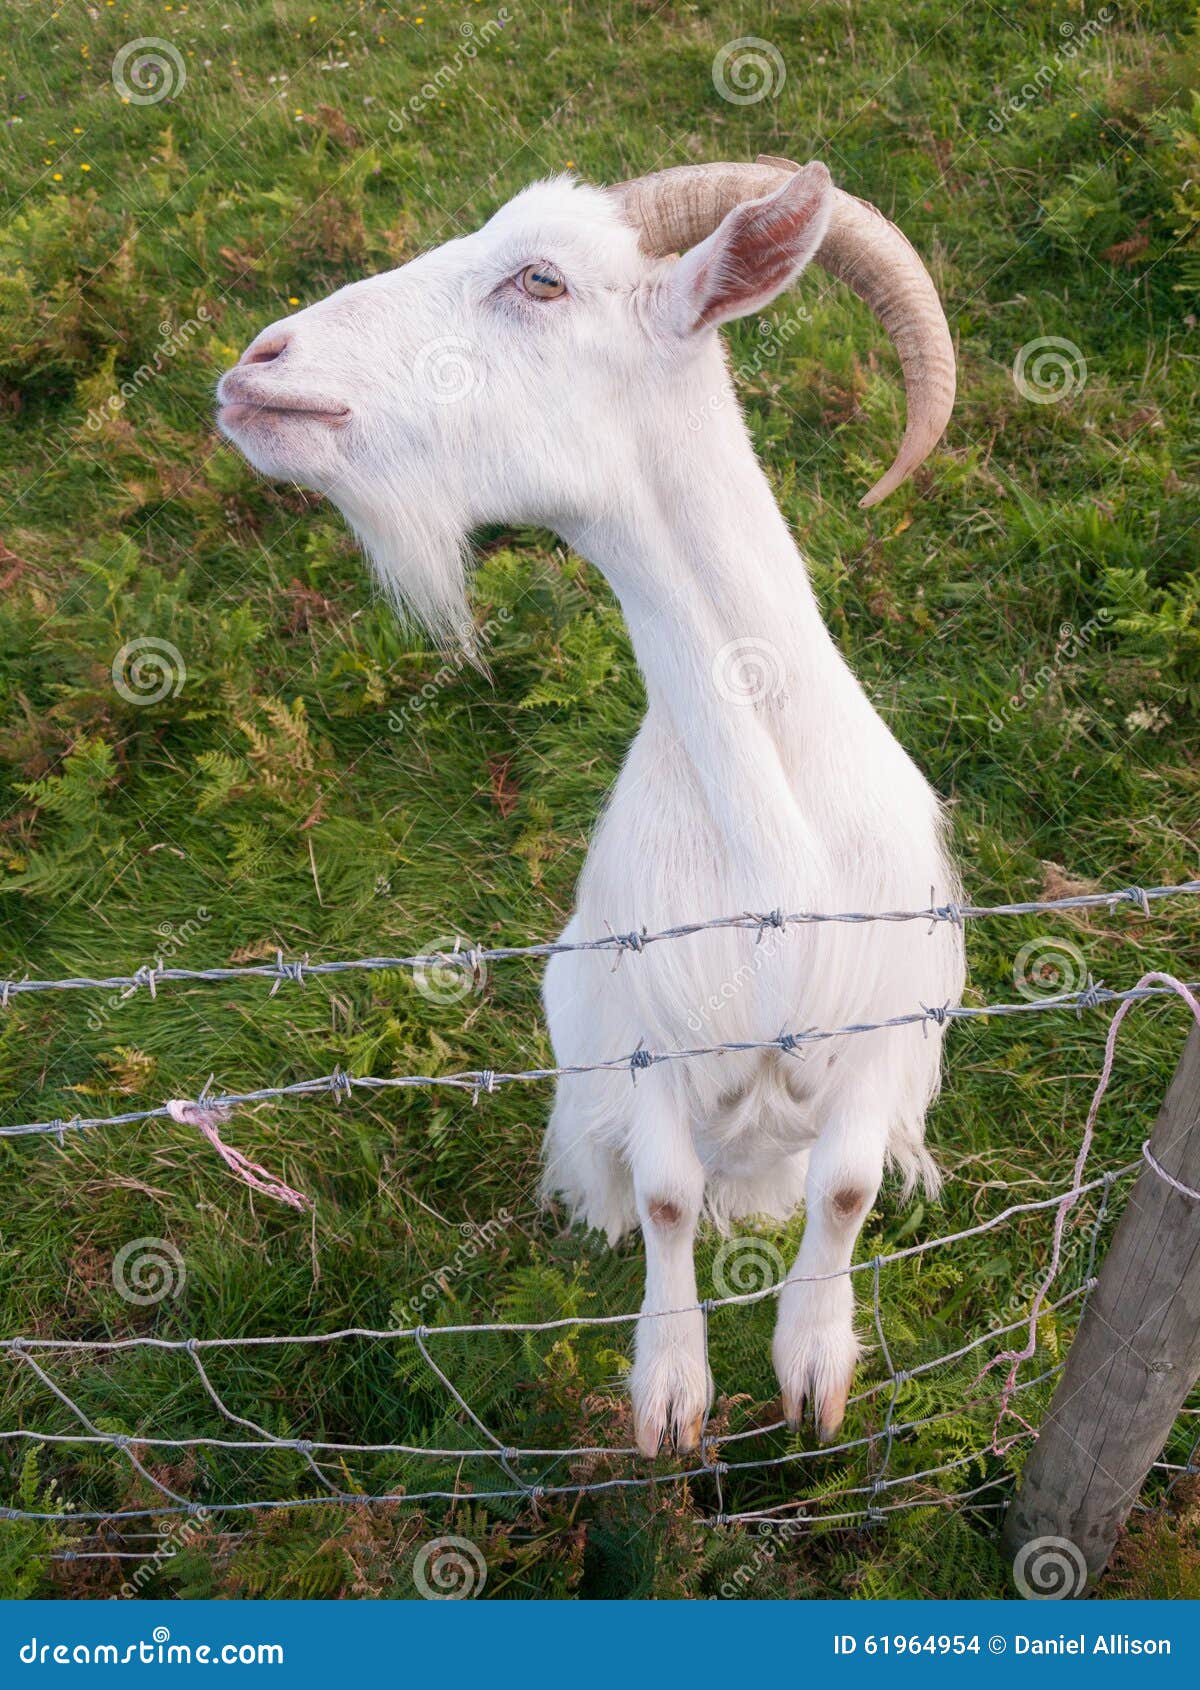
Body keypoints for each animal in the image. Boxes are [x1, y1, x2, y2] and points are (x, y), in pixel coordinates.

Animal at [218, 156, 966, 1458]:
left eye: (541, 279)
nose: (258, 365)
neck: (772, 835)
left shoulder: (886, 1022)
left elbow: (847, 1185)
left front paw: (815, 1373)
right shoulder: (641, 1026)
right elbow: (666, 1197)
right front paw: (668, 1393)